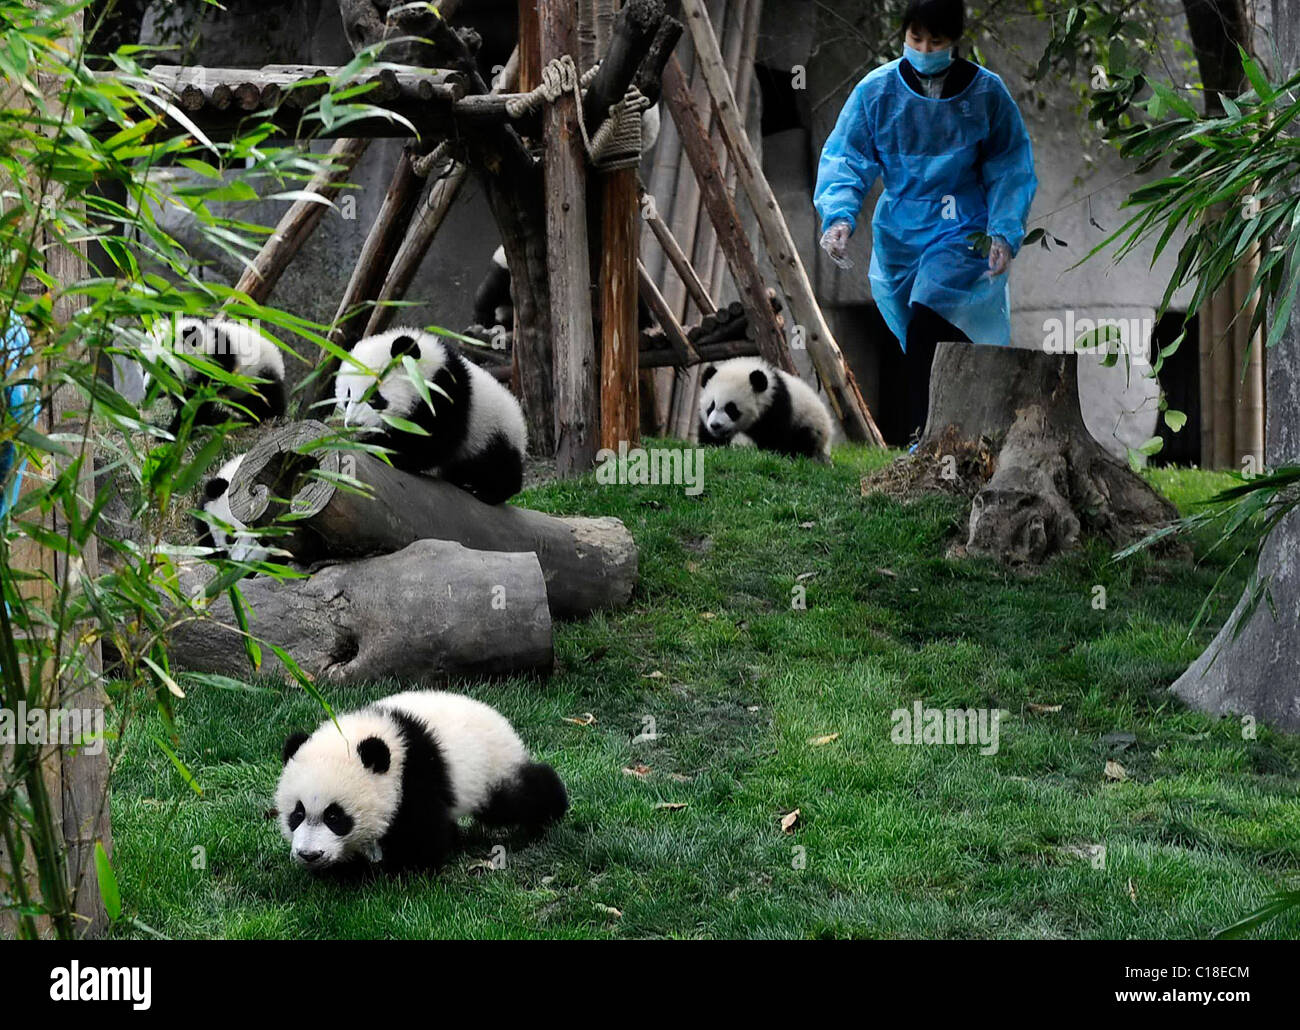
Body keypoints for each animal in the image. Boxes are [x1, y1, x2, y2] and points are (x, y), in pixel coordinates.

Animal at [148, 316, 287, 433]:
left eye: (168, 369)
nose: (152, 392)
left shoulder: (215, 367)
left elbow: (197, 403)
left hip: (259, 374)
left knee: (267, 398)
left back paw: (268, 417)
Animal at [276, 690, 568, 873]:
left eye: (335, 816)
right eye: (297, 813)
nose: (309, 855)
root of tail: (501, 720)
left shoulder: (416, 772)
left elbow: (421, 832)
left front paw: (391, 869)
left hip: (490, 769)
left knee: (514, 799)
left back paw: (552, 809)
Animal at [334, 327, 527, 505]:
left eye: (374, 397)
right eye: (348, 396)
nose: (354, 424)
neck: (427, 370)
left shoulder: (446, 392)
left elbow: (431, 441)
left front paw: (380, 447)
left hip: (494, 431)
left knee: (499, 466)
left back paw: (485, 491)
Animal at [697, 357, 833, 462]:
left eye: (731, 409)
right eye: (711, 406)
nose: (715, 425)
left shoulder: (777, 405)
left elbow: (776, 434)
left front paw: (772, 454)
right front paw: (710, 445)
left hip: (809, 423)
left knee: (803, 440)